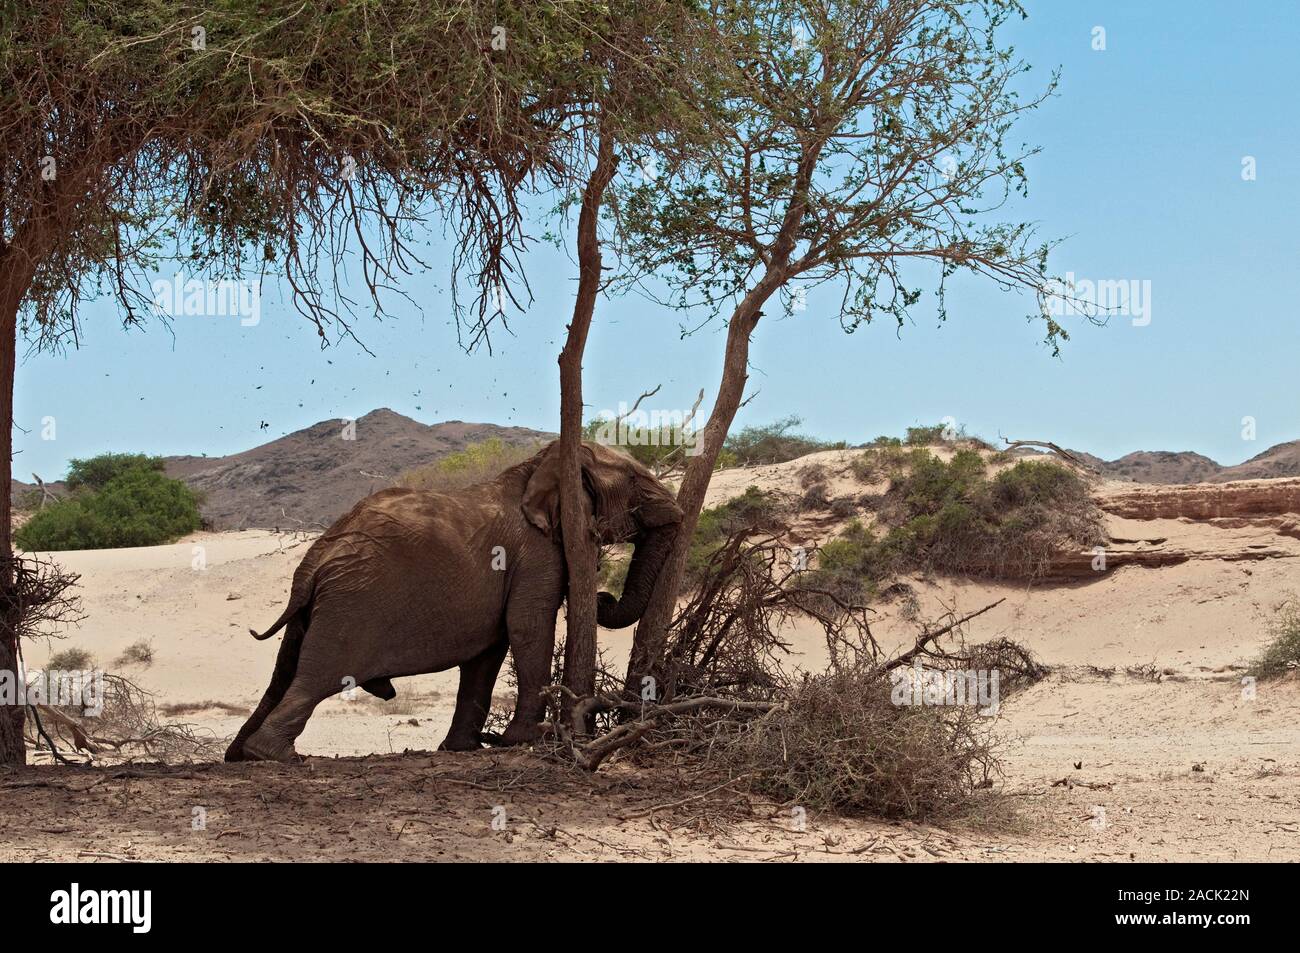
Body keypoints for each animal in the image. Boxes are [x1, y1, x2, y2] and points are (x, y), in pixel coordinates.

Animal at [224, 440, 683, 762]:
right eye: (636, 482)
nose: (604, 597)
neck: (540, 465)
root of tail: (317, 557)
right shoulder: (536, 555)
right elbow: (528, 627)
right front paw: (524, 741)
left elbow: (488, 652)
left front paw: (463, 748)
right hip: (350, 604)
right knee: (320, 675)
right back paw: (278, 756)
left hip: (321, 605)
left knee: (284, 673)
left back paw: (240, 756)